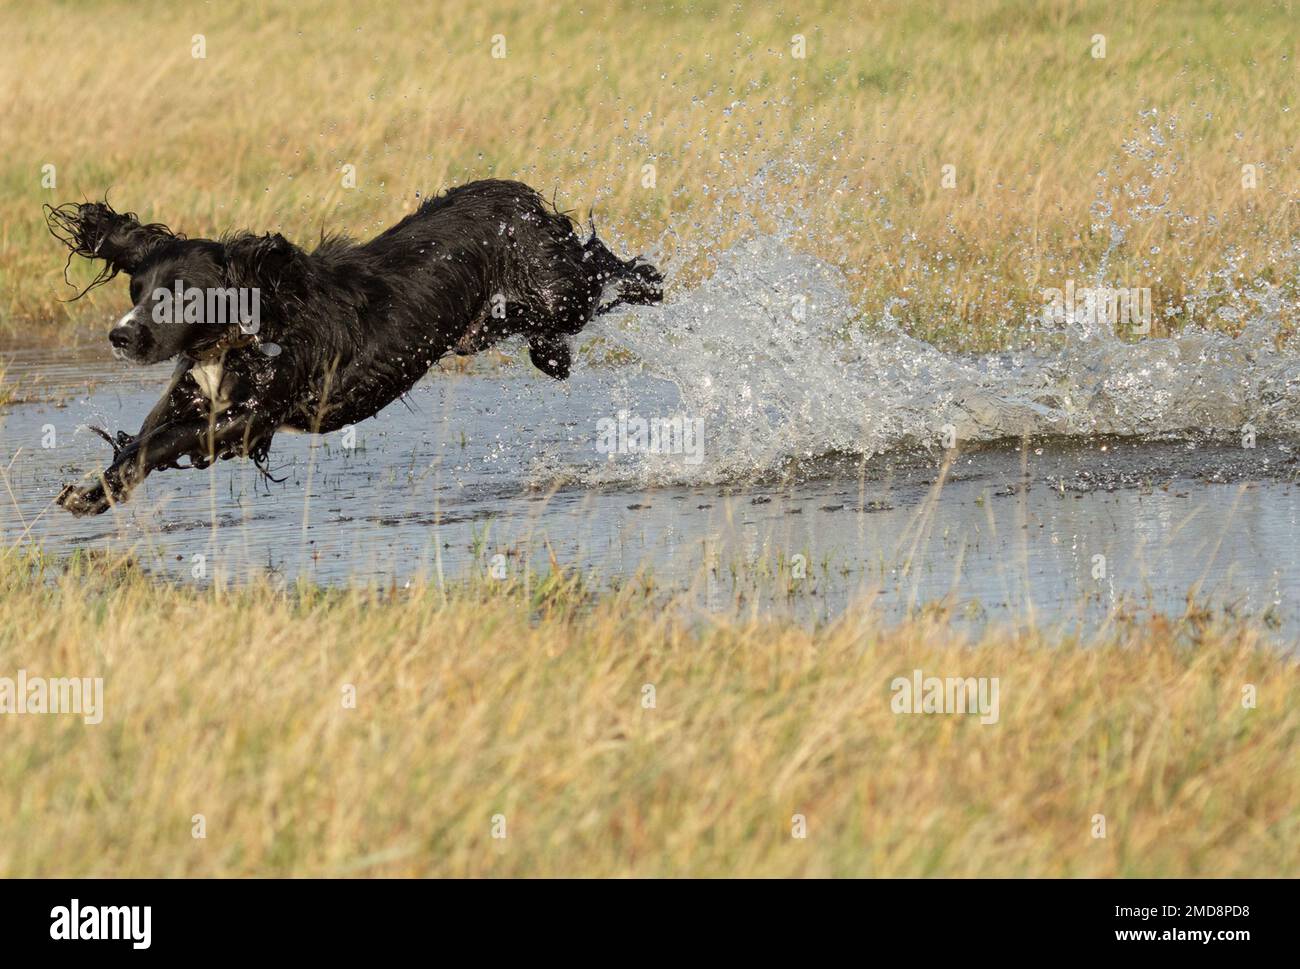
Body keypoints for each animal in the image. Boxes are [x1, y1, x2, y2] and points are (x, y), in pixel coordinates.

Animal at [48, 180, 660, 515]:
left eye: (181, 297)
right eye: (136, 290)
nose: (121, 336)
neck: (257, 324)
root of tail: (517, 193)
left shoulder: (255, 416)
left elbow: (164, 440)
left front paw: (98, 491)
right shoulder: (196, 395)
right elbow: (143, 436)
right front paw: (97, 491)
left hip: (557, 293)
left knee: (604, 271)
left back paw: (648, 281)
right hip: (495, 322)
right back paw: (556, 353)